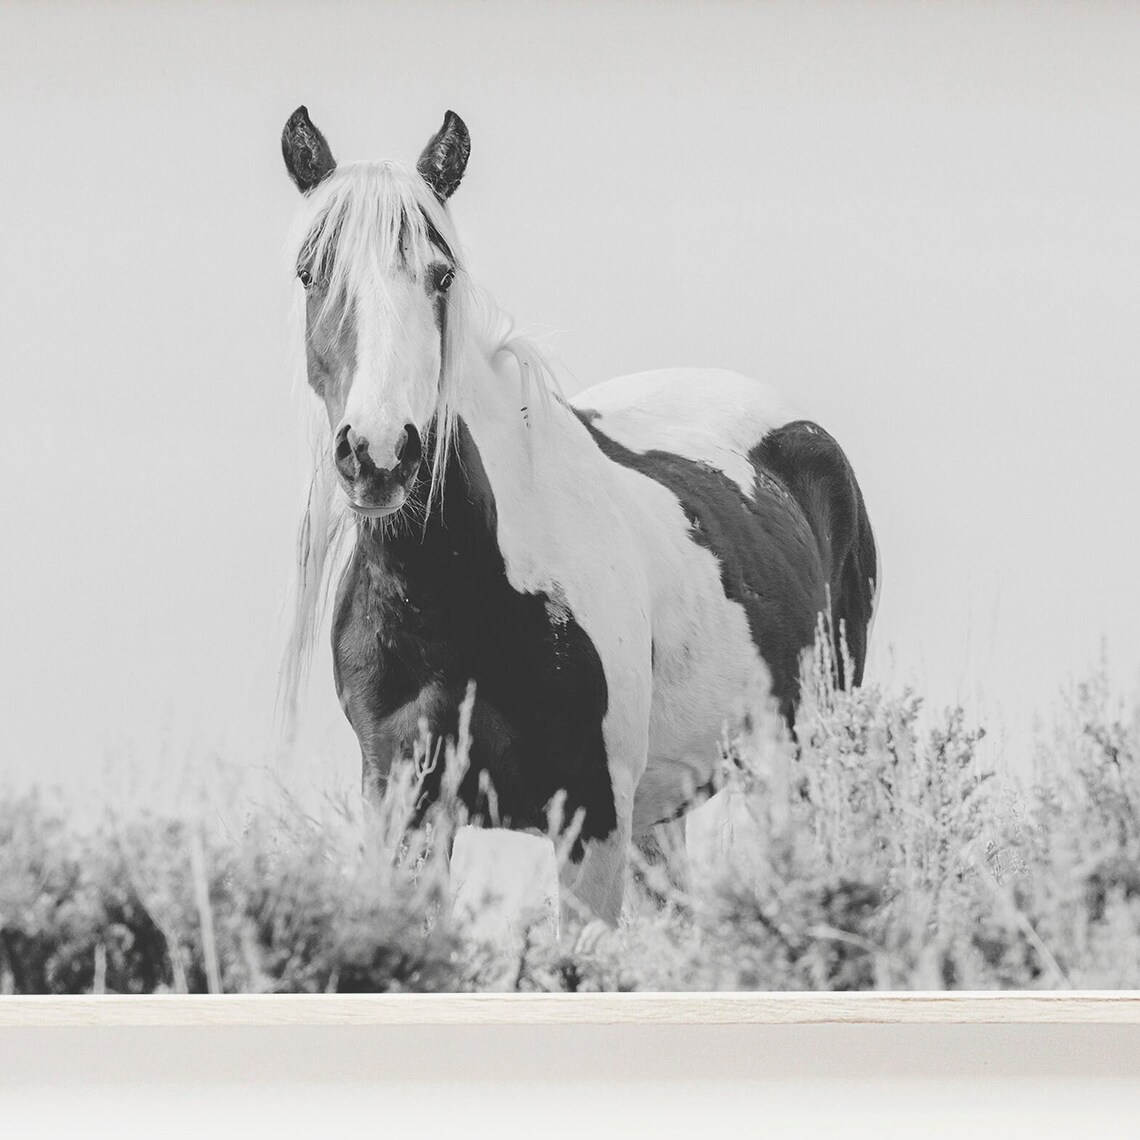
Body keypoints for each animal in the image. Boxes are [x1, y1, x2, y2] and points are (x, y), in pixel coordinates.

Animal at [279, 106, 880, 925]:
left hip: (797, 763)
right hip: (665, 814)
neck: (462, 599)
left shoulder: (591, 816)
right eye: (312, 274)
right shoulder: (404, 808)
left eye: (441, 275)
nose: (378, 454)